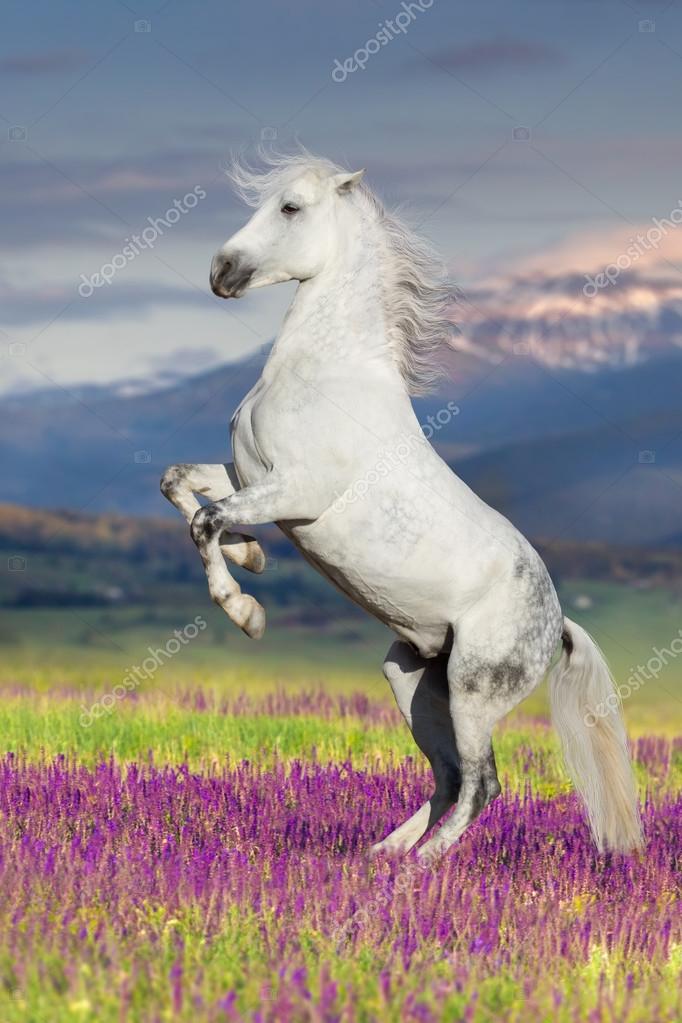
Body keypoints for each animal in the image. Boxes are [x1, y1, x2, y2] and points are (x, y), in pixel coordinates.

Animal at [160, 150, 642, 862]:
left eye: (291, 207)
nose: (222, 272)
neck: (326, 372)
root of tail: (556, 624)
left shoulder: (295, 493)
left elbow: (205, 519)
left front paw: (247, 612)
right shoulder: (249, 475)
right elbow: (179, 484)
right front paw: (251, 560)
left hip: (473, 690)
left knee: (483, 782)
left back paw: (423, 867)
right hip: (412, 678)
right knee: (447, 776)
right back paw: (382, 857)